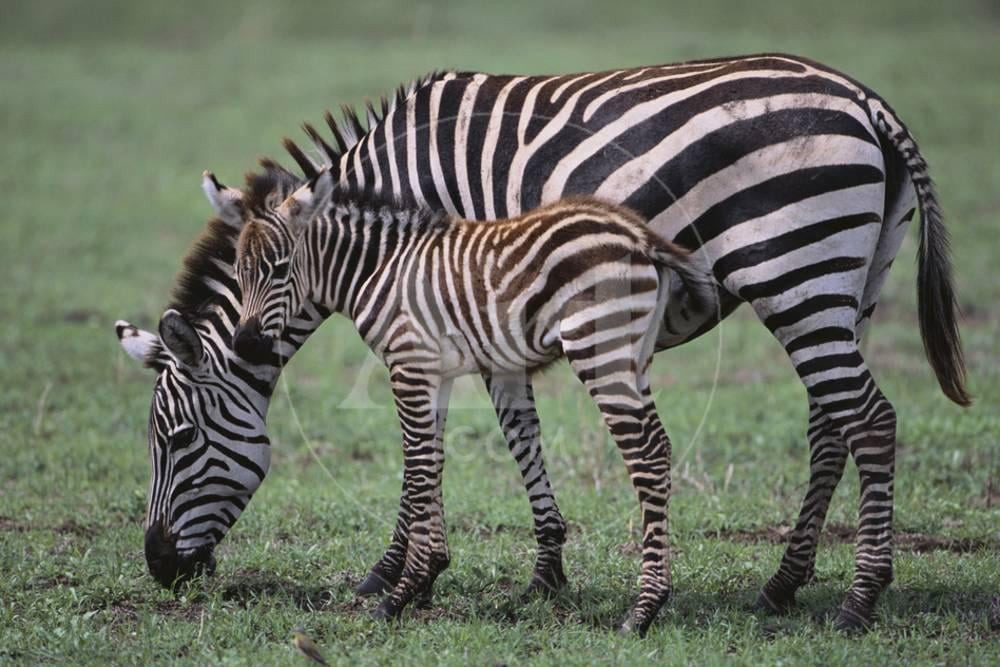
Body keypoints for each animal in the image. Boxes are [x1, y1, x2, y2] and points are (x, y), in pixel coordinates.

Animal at [212, 164, 715, 634]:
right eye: (238, 272)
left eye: (280, 269)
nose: (246, 345)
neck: (377, 267)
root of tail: (638, 234)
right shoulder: (435, 372)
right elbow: (431, 462)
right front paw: (427, 575)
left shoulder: (409, 363)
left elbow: (416, 466)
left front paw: (400, 594)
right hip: (634, 355)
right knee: (659, 447)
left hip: (600, 347)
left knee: (645, 454)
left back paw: (644, 610)